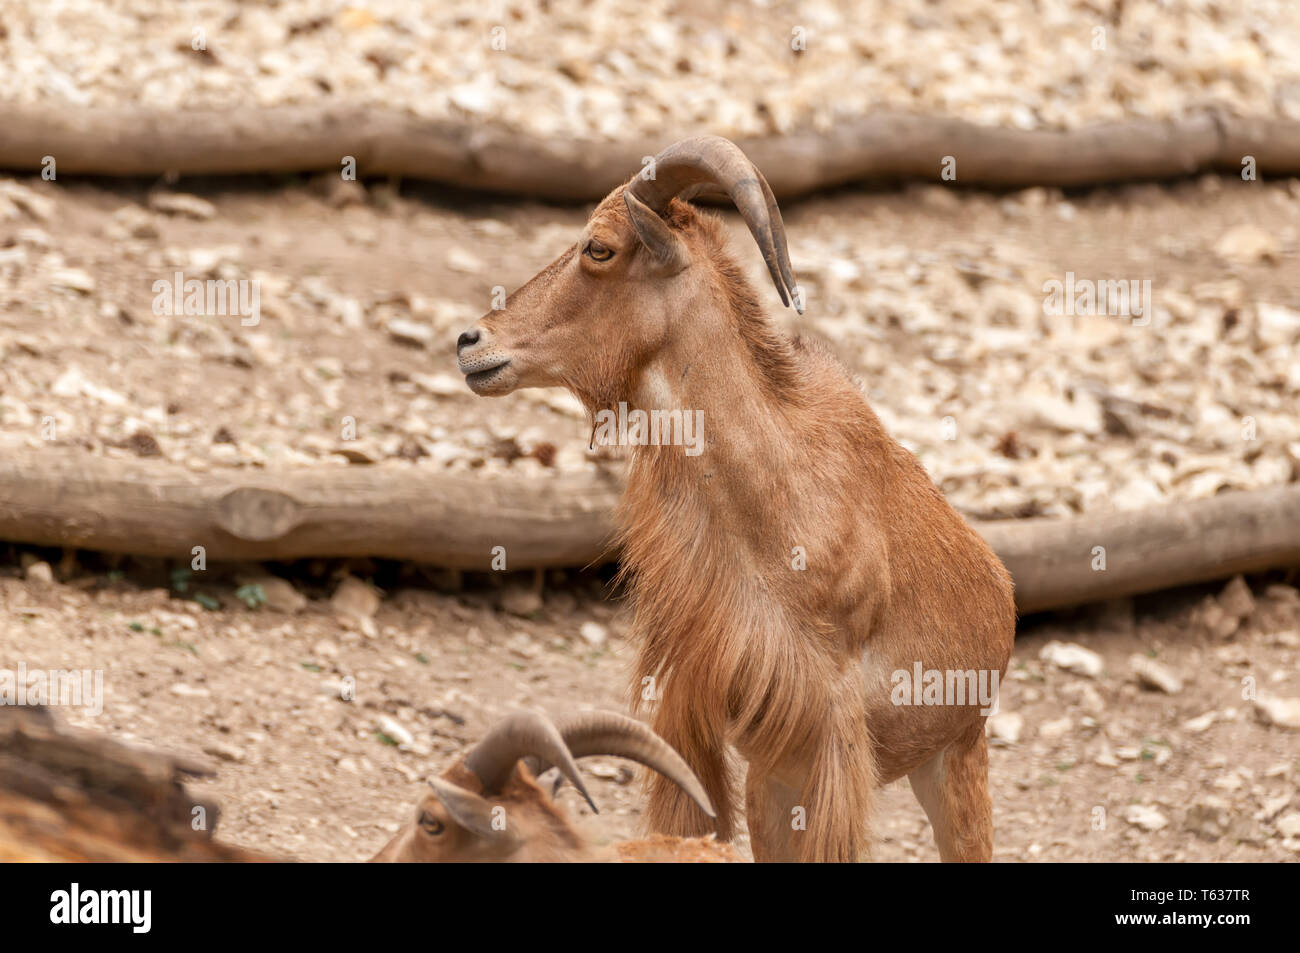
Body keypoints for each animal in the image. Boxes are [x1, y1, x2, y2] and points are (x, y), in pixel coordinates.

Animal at [454, 137, 1016, 862]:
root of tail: (1000, 597)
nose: (471, 342)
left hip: (955, 757)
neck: (768, 509)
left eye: (599, 248)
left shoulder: (830, 752)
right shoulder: (725, 736)